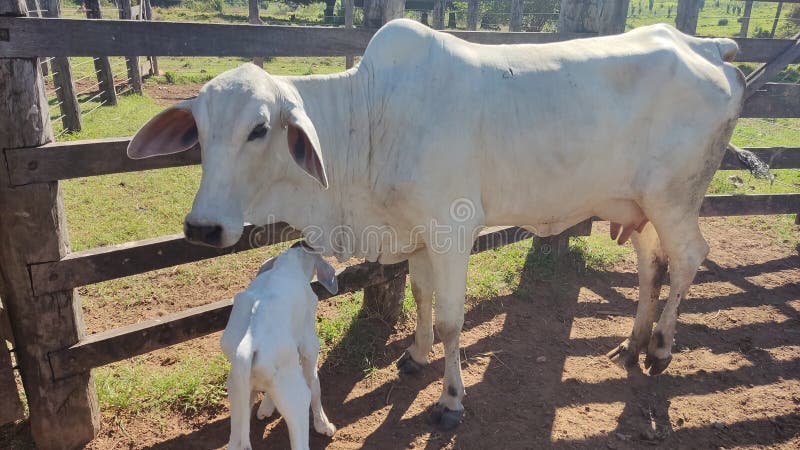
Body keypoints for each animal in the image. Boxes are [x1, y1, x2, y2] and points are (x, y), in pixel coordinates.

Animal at [221, 241, 338, 450]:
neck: (287, 264)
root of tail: (248, 347)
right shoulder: (309, 342)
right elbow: (315, 383)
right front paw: (324, 425)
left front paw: (265, 409)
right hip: (296, 398)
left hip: (236, 392)